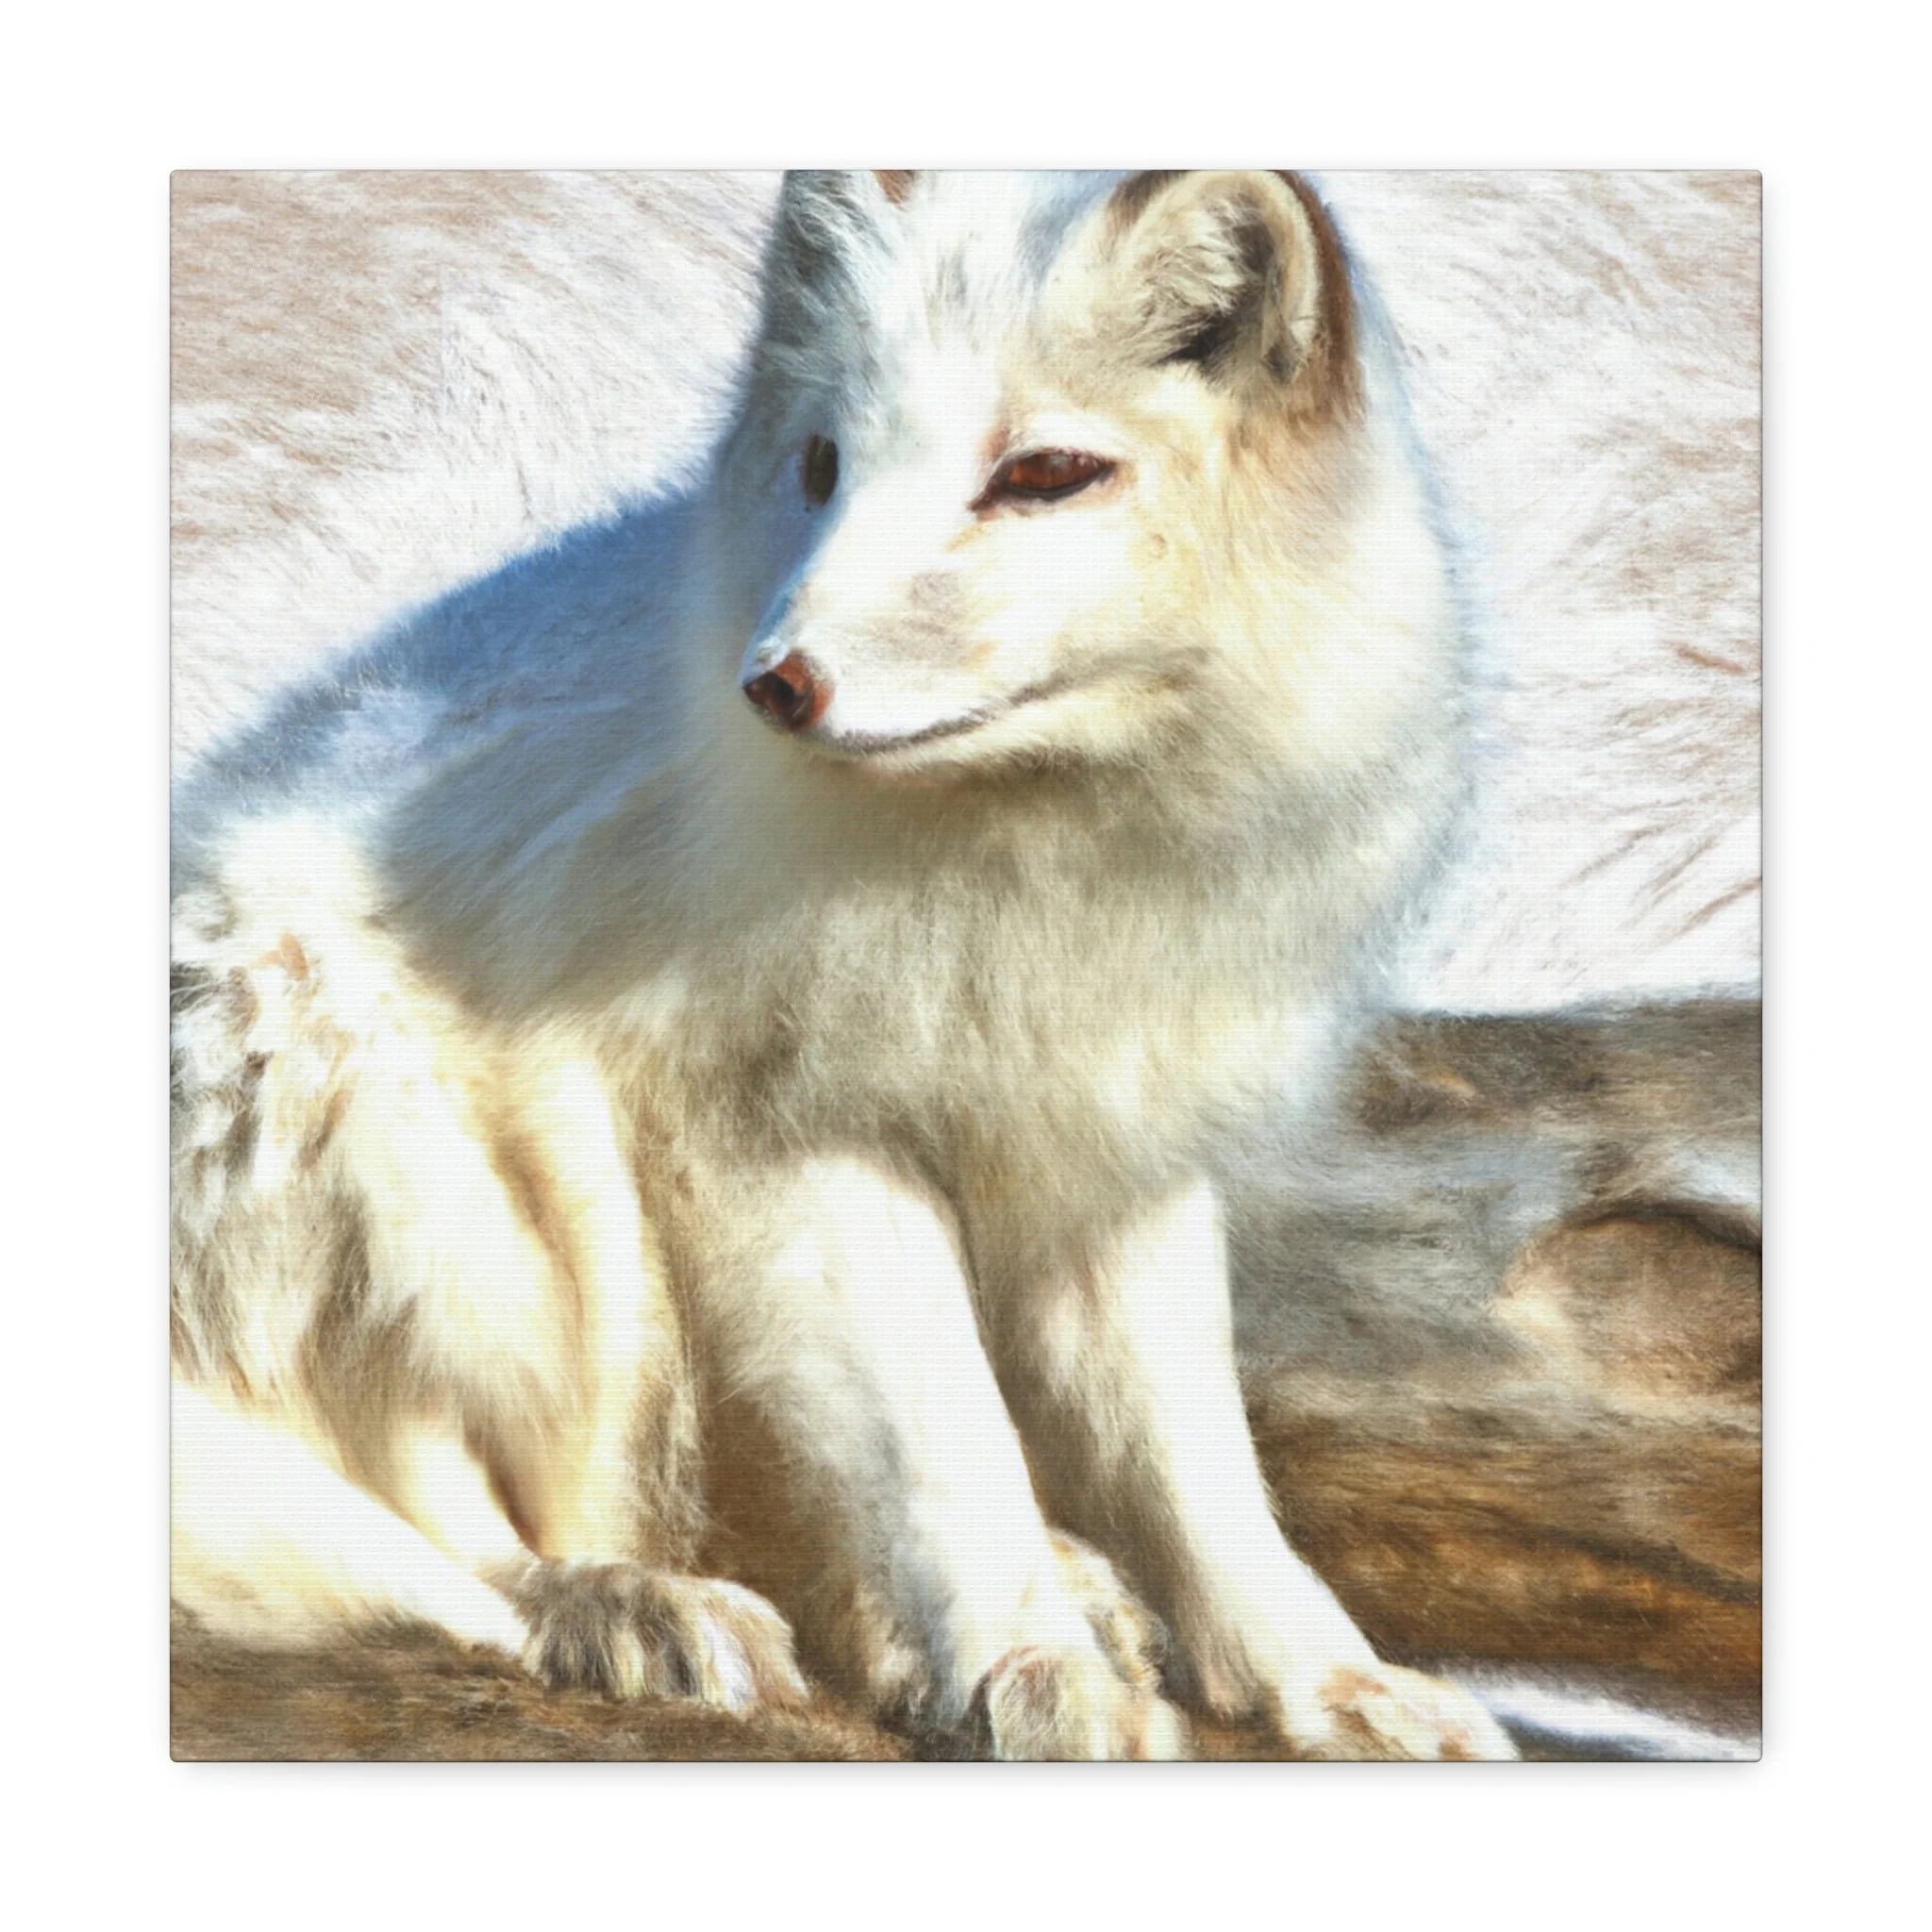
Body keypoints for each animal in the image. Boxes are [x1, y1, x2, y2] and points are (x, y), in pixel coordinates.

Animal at [170, 168, 1516, 1759]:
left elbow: (1187, 1451)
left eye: (1047, 474)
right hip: (400, 1112)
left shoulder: (1115, 1144)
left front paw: (1318, 1681)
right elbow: (940, 1437)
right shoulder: (784, 1133)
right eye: (821, 468)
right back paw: (624, 1602)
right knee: (440, 1515)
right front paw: (1026, 1668)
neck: (1039, 860)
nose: (775, 684)